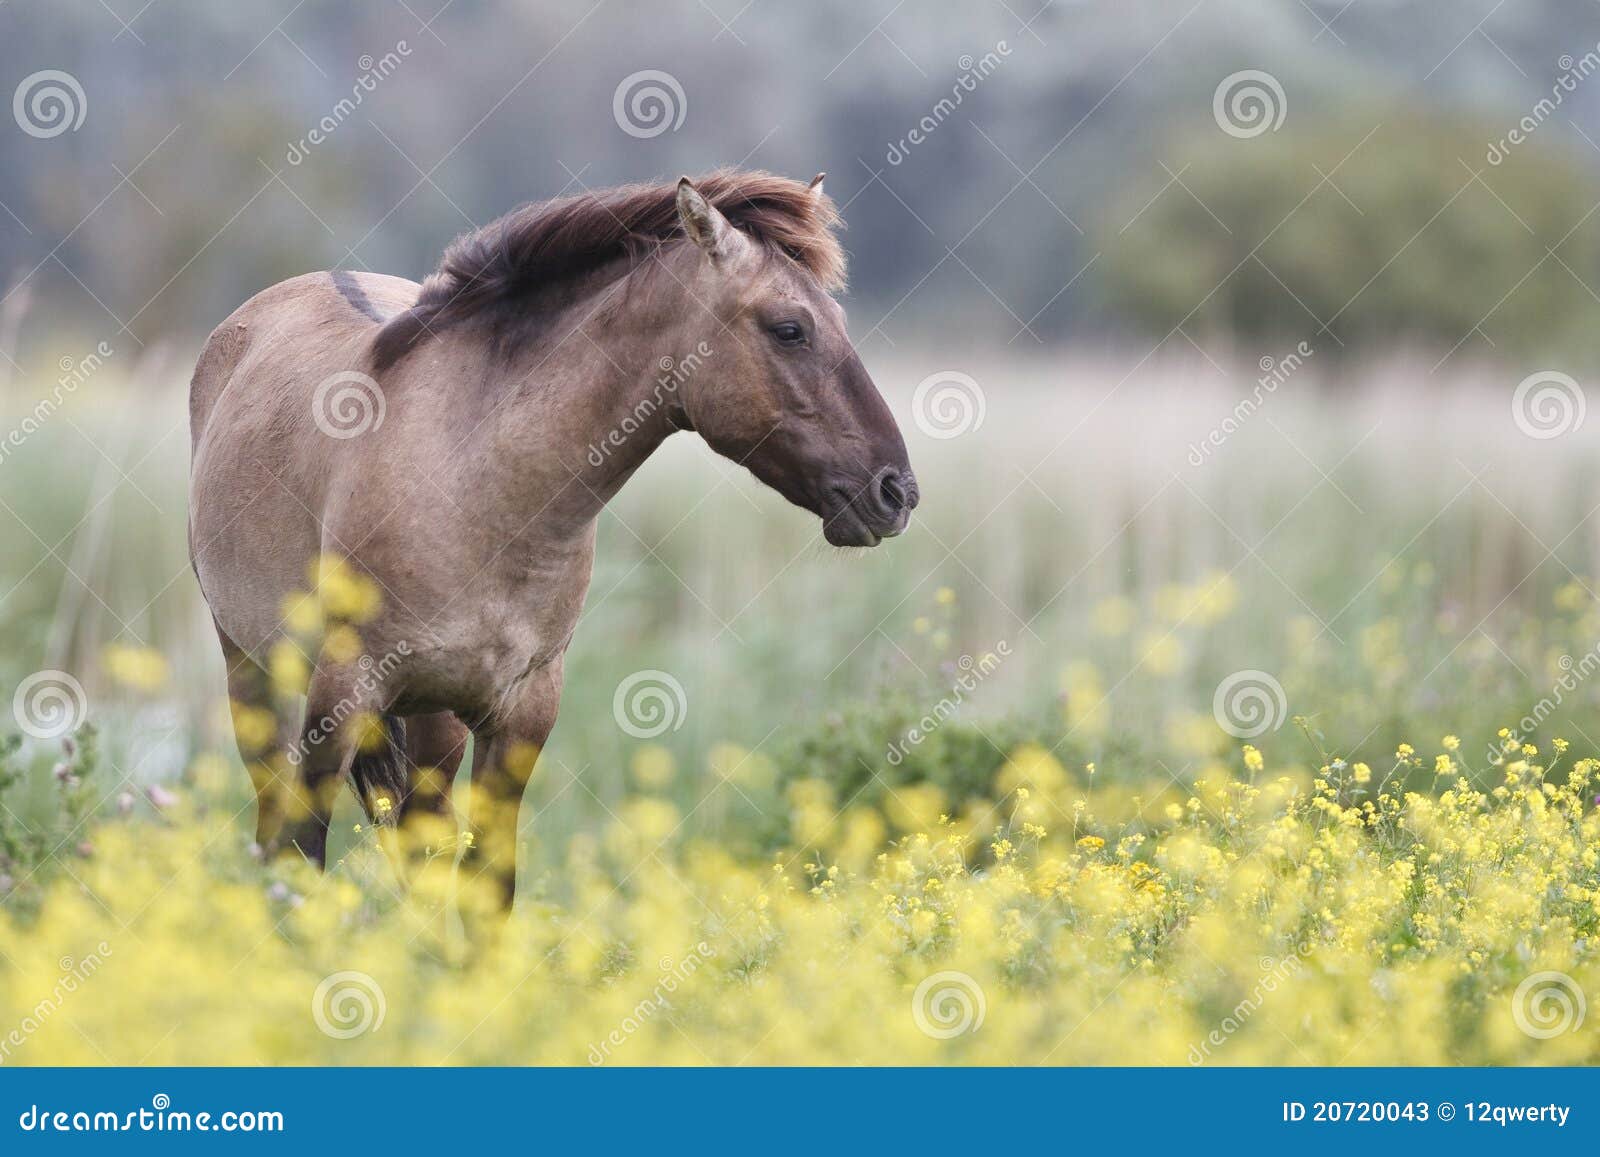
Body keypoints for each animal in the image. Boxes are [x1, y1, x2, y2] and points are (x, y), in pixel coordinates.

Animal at [188, 168, 918, 907]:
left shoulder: (521, 714)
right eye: (789, 328)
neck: (476, 485)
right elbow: (299, 856)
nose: (897, 492)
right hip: (254, 672)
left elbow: (487, 887)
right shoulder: (340, 697)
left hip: (434, 718)